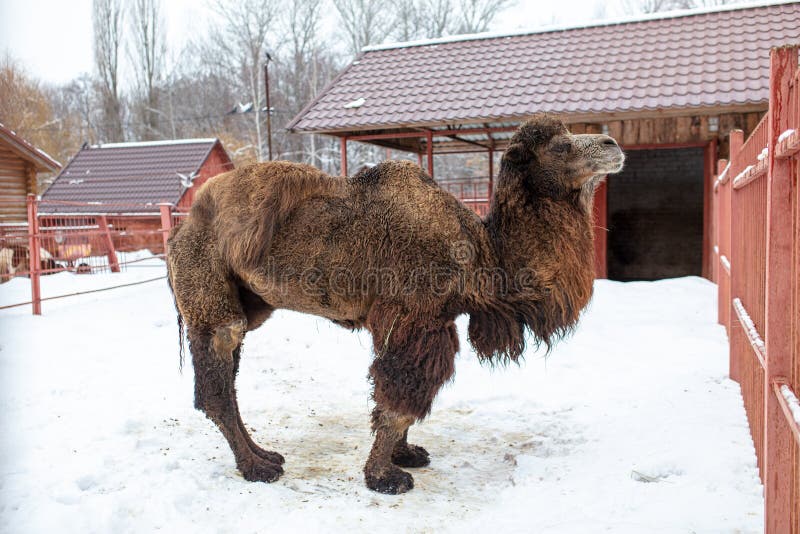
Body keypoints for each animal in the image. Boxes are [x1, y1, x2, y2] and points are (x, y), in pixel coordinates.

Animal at [166, 114, 624, 494]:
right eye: (559, 146)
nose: (612, 144)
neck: (483, 251)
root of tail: (180, 230)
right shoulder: (415, 317)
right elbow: (400, 399)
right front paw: (384, 477)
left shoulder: (426, 324)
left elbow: (405, 396)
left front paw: (406, 455)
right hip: (207, 293)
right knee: (217, 383)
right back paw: (257, 468)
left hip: (247, 302)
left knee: (227, 382)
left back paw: (266, 454)